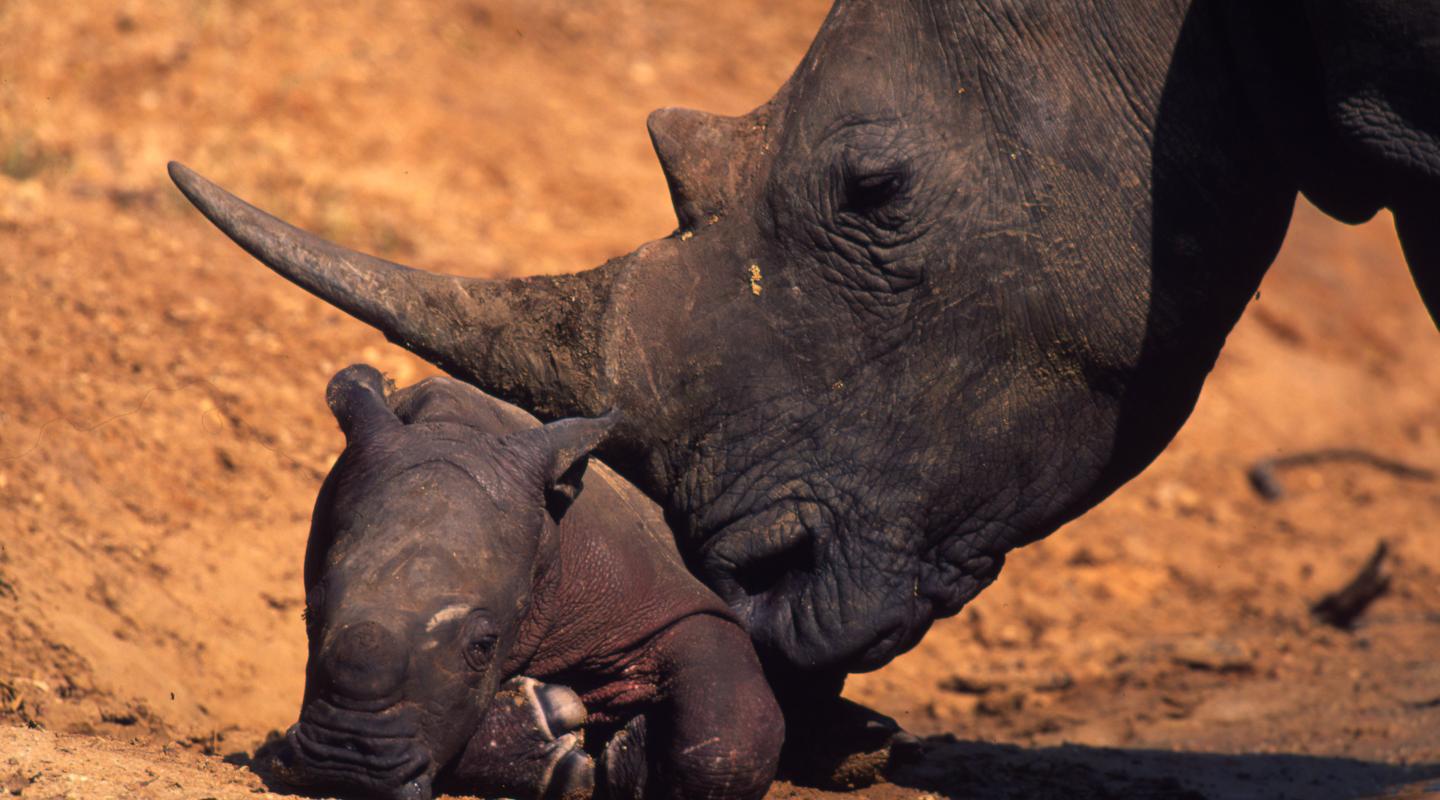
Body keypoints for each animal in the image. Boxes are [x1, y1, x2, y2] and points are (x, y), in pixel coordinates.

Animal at [277, 364, 781, 800]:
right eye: (308, 616)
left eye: (484, 646)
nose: (343, 766)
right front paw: (557, 742)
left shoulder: (658, 597)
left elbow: (726, 740)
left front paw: (626, 756)